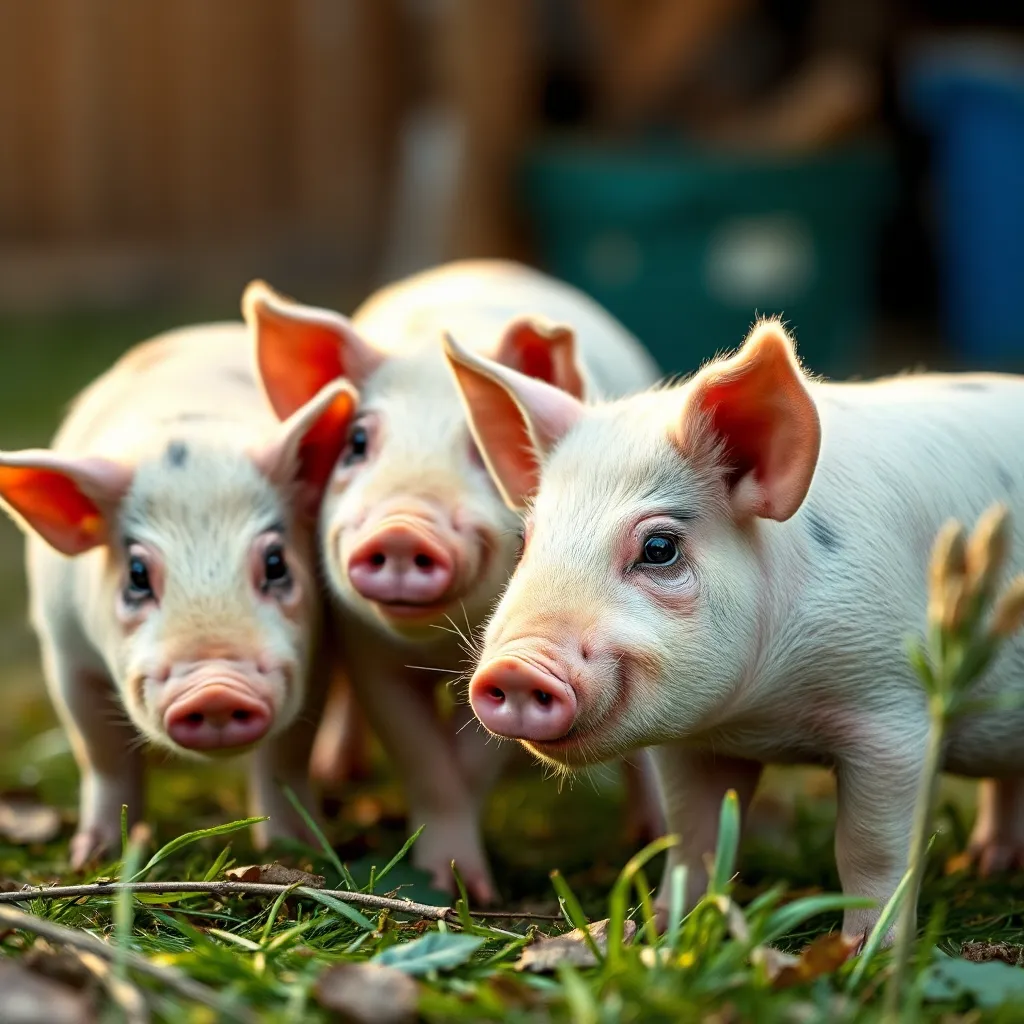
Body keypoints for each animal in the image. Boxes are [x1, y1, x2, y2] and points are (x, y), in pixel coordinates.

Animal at [0, 324, 355, 867]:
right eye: (137, 574)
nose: (216, 688)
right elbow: (102, 756)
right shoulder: (65, 656)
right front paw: (91, 859)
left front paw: (298, 852)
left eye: (276, 563)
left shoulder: (314, 655)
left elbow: (286, 756)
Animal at [243, 260, 663, 901]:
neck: (437, 644)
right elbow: (422, 756)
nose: (401, 528)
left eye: (480, 448)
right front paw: (447, 885)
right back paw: (338, 770)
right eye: (357, 442)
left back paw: (648, 836)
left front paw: (472, 891)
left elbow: (471, 756)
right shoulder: (370, 652)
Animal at [444, 318, 1024, 940]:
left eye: (659, 548)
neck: (767, 715)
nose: (516, 666)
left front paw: (862, 951)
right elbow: (693, 836)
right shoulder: (691, 744)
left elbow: (872, 850)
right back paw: (984, 863)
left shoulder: (892, 716)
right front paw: (666, 930)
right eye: (525, 544)